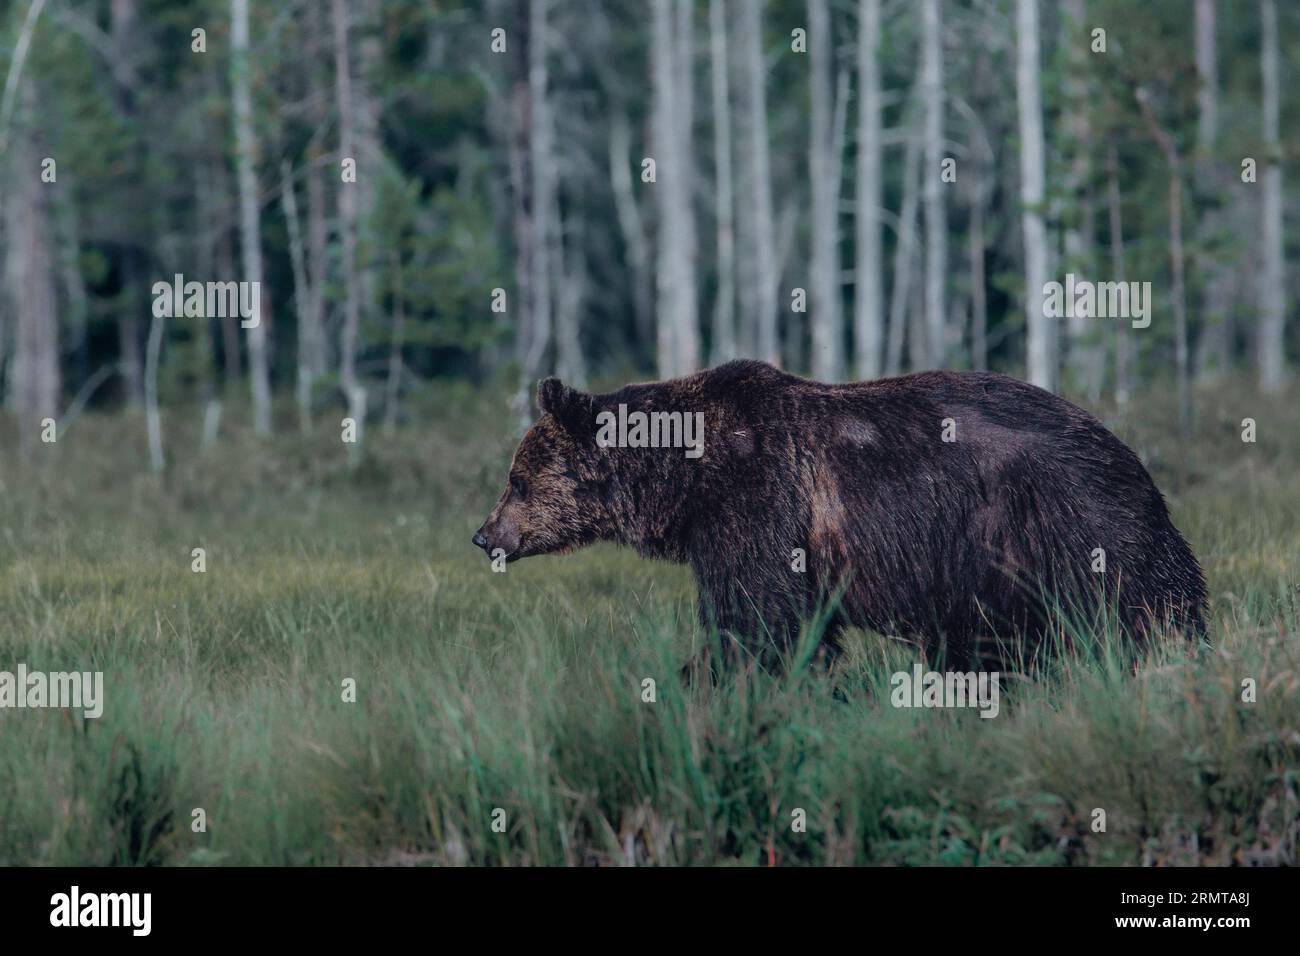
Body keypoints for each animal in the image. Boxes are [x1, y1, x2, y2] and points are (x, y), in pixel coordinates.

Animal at [473, 360, 1207, 670]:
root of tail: (1132, 456)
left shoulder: (758, 500)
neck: (683, 479)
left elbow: (757, 621)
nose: (483, 535)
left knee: (1140, 608)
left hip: (1071, 523)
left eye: (515, 480)